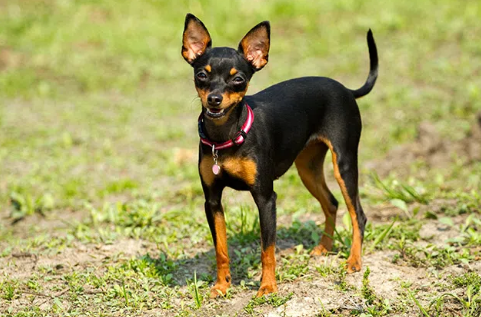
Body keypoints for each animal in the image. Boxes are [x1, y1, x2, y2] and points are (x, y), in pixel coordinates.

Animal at [182, 13, 376, 298]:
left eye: (238, 79)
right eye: (201, 75)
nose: (214, 99)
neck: (226, 136)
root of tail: (345, 90)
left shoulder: (265, 198)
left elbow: (268, 249)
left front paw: (267, 287)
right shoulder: (213, 201)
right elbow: (221, 249)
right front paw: (222, 285)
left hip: (344, 163)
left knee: (357, 214)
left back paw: (354, 260)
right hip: (307, 168)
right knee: (331, 202)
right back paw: (324, 248)